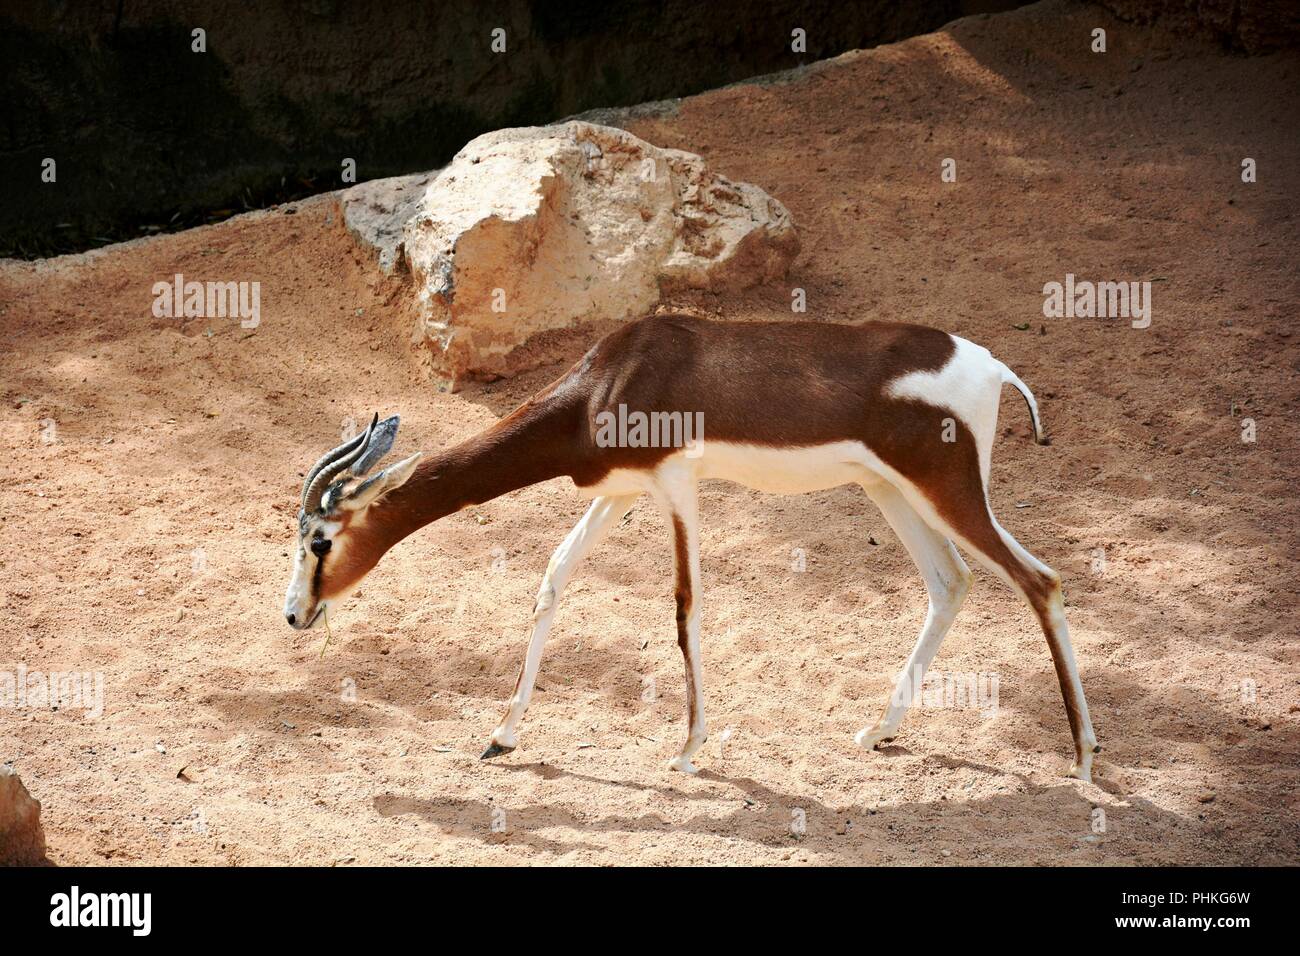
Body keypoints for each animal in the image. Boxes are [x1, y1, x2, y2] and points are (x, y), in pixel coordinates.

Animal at [283, 313, 1100, 780]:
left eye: (319, 540)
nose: (294, 614)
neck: (610, 379)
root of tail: (993, 365)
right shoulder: (621, 488)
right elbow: (552, 581)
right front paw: (501, 737)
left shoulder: (676, 482)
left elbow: (684, 608)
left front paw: (686, 750)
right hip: (892, 492)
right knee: (951, 582)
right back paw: (876, 731)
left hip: (948, 493)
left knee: (1041, 580)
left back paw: (1086, 760)